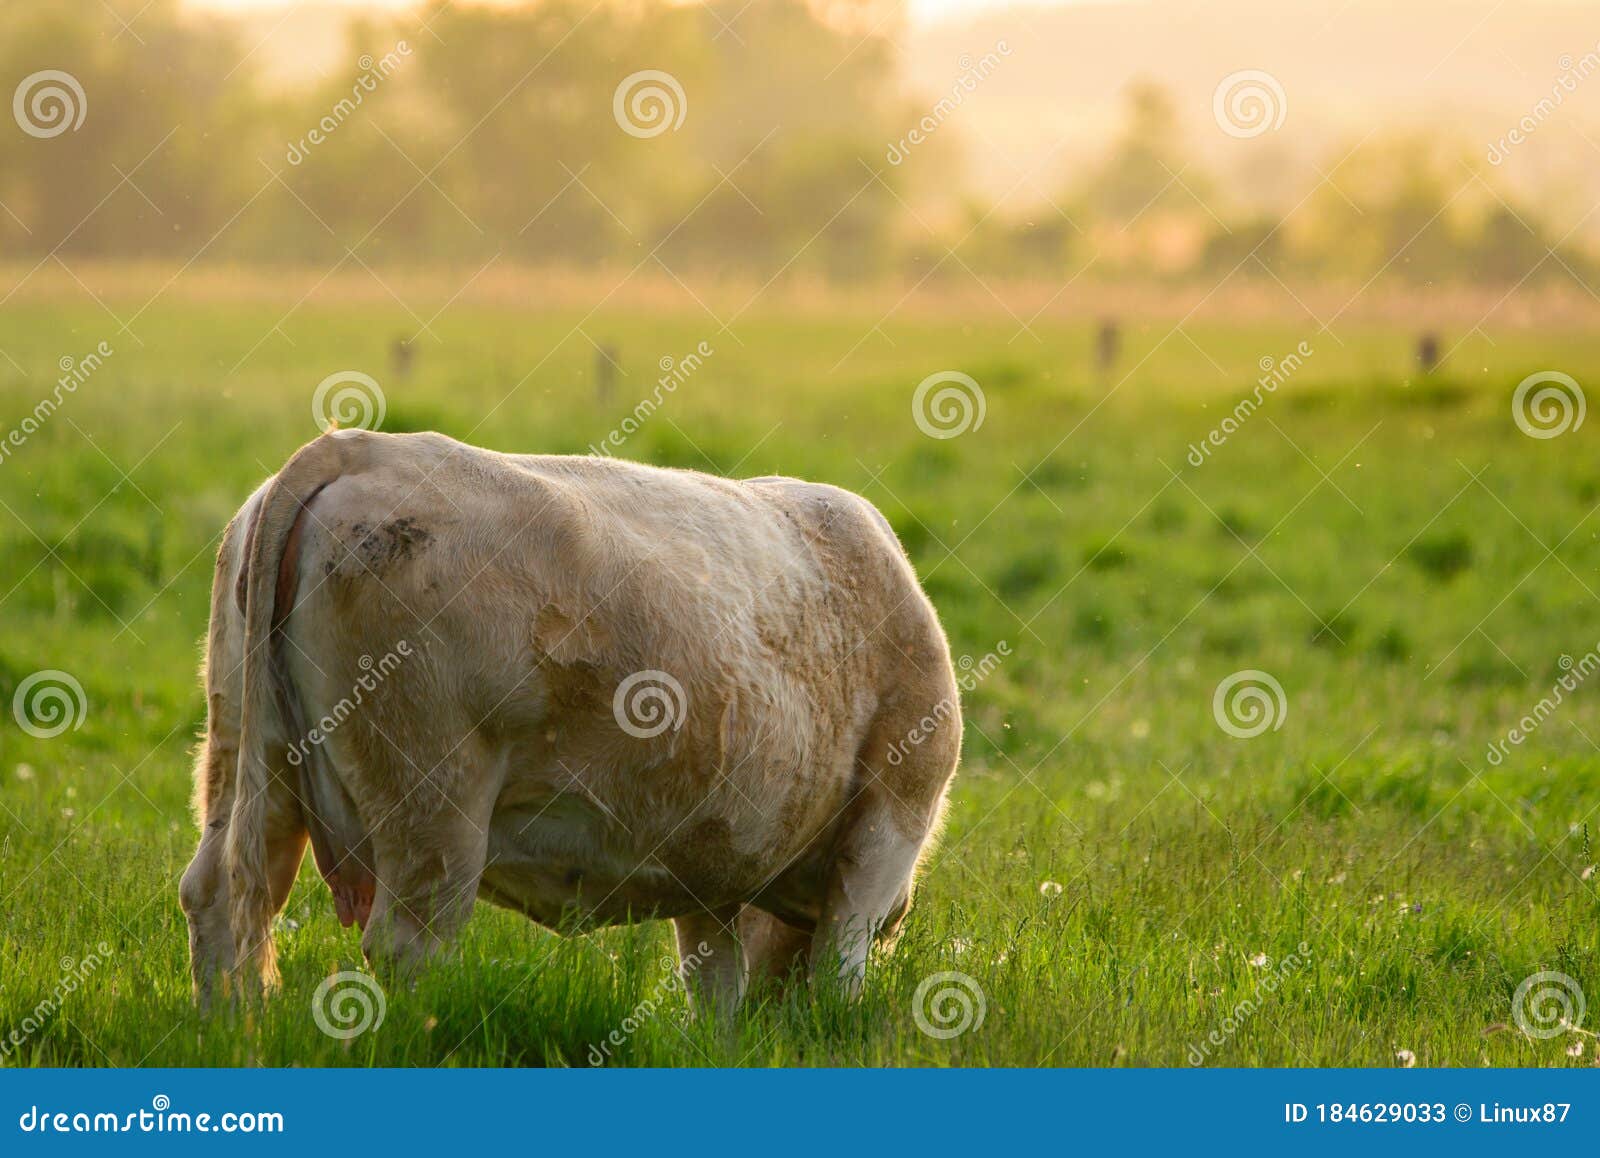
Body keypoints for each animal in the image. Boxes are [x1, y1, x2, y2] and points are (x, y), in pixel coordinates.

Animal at [179, 429, 961, 1013]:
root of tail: (360, 448)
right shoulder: (889, 822)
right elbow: (839, 972)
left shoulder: (710, 862)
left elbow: (717, 993)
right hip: (433, 805)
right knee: (408, 945)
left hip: (247, 757)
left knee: (222, 897)